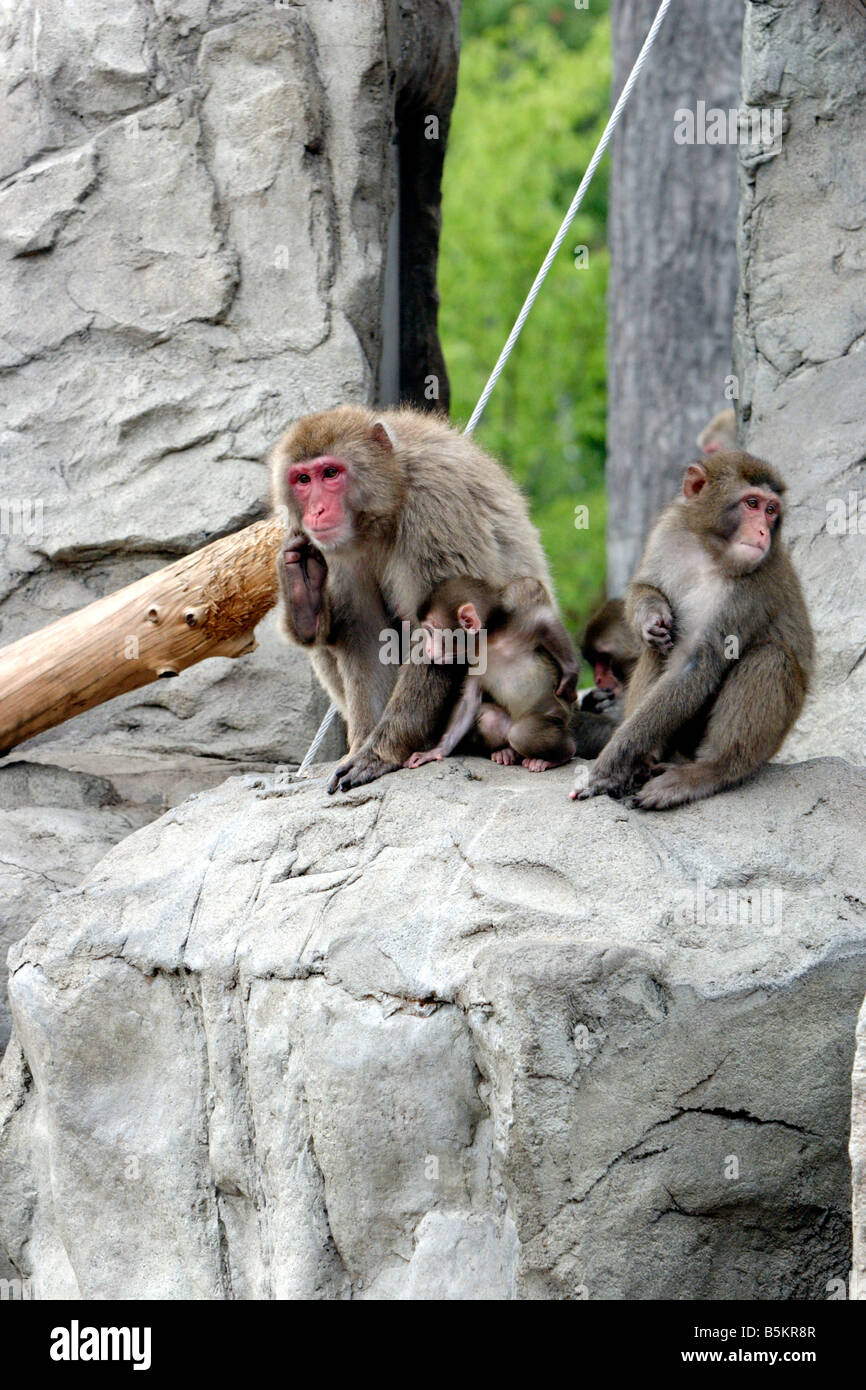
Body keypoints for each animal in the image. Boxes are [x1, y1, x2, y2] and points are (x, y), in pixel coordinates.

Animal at [270, 405, 552, 792]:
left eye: (330, 473)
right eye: (302, 480)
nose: (316, 512)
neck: (390, 499)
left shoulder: (436, 504)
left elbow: (443, 633)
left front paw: (379, 754)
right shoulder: (333, 550)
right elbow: (363, 633)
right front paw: (363, 744)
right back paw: (305, 602)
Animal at [403, 576, 579, 772]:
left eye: (430, 631)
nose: (427, 649)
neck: (488, 643)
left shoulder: (518, 630)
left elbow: (544, 622)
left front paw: (570, 673)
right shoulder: (475, 666)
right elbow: (469, 701)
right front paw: (436, 751)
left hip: (556, 718)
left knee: (522, 733)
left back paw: (556, 757)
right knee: (490, 718)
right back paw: (507, 752)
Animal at [572, 450, 813, 810]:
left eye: (771, 511)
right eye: (752, 503)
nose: (762, 532)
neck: (710, 551)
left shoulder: (751, 588)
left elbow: (696, 665)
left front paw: (607, 766)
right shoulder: (670, 528)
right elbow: (645, 588)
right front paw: (650, 614)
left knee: (770, 658)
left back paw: (710, 770)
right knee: (656, 650)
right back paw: (645, 762)